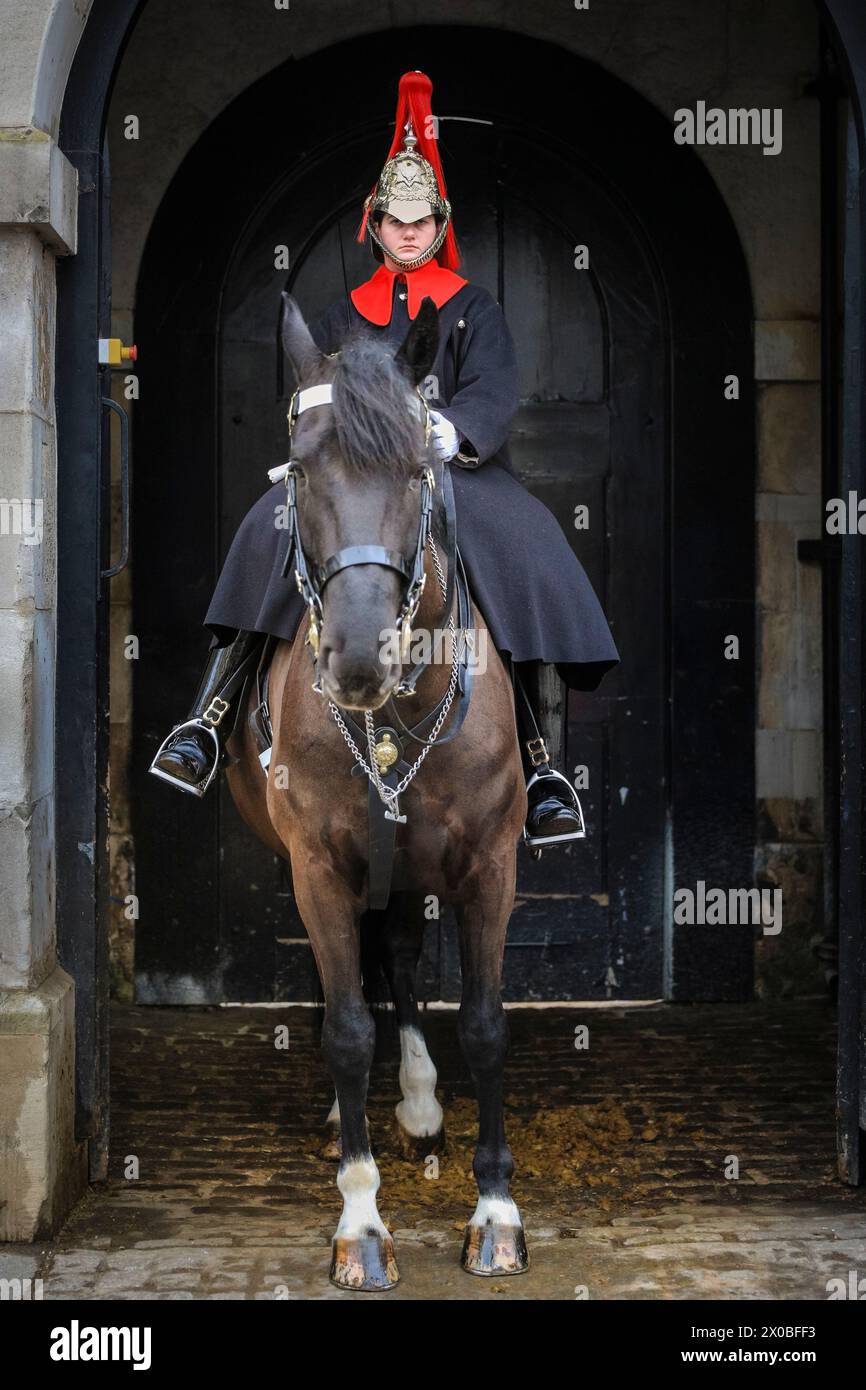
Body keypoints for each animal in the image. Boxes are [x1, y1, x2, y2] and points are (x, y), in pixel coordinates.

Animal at [225, 291, 528, 1290]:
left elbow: (486, 1024)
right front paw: (359, 1221)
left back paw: (422, 1100)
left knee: (392, 948)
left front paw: (496, 1212)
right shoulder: (317, 865)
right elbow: (348, 1028)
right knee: (361, 972)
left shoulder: (491, 866)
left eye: (416, 470)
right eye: (301, 469)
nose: (359, 660)